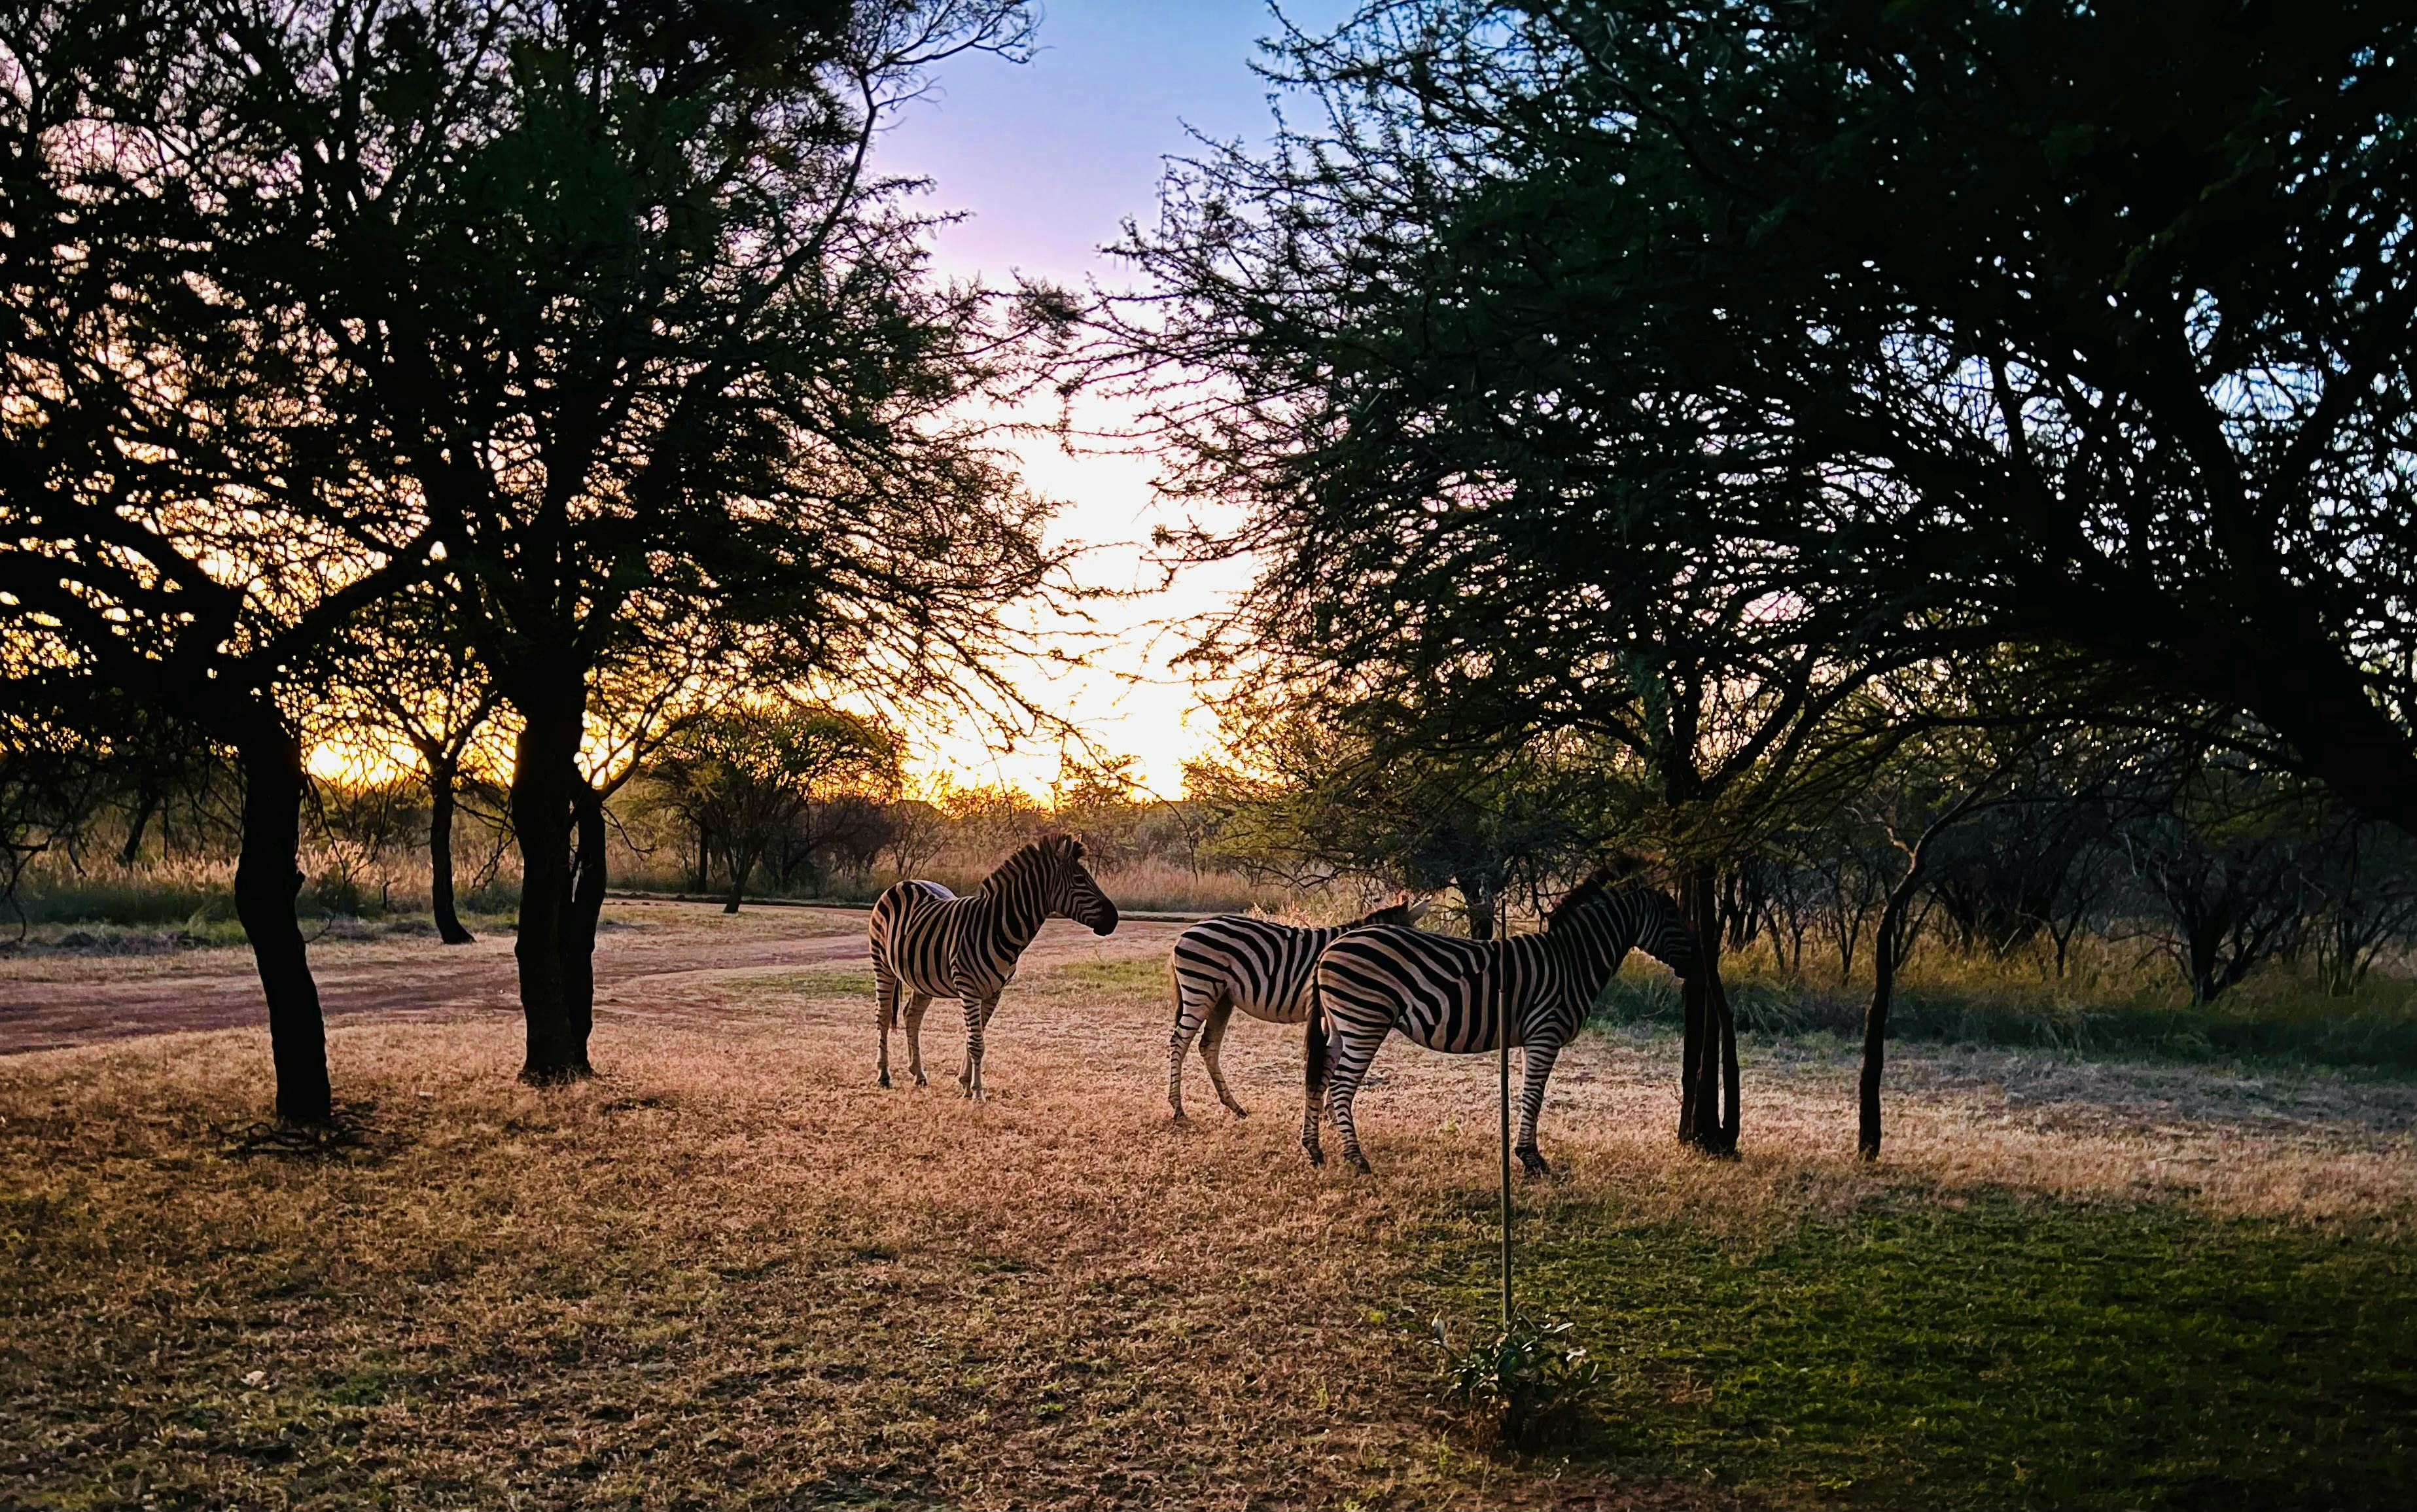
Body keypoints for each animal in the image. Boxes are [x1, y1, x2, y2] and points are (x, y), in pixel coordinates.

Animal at [869, 833, 1118, 1099]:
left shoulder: (994, 992)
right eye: (1080, 879)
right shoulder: (969, 988)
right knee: (883, 1017)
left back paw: (918, 1074)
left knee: (912, 1015)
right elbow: (977, 1043)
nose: (1114, 919)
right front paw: (977, 1091)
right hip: (882, 965)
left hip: (922, 978)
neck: (997, 927)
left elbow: (976, 1036)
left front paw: (966, 1083)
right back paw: (883, 1076)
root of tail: (905, 882)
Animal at [1164, 896, 1430, 1122]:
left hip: (1222, 999)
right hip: (1201, 990)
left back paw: (1234, 1106)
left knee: (1208, 1046)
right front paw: (1329, 1112)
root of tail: (1188, 932)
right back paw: (1178, 1109)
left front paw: (1326, 1111)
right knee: (1180, 1041)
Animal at [1302, 871, 1699, 1175]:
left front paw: (1526, 1154)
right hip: (1364, 1021)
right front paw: (1532, 1160)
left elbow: (1527, 1094)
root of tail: (1331, 946)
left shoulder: (1532, 1037)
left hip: (1340, 1026)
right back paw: (1356, 1159)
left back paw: (1314, 1150)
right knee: (1340, 1087)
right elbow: (1535, 1096)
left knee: (1320, 1077)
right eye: (1672, 914)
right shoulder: (1546, 1032)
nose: (1697, 964)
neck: (1573, 960)